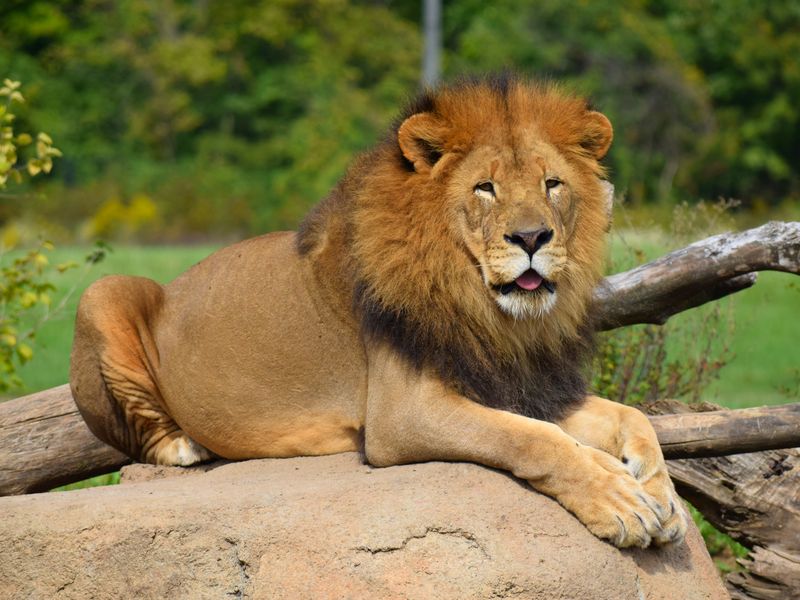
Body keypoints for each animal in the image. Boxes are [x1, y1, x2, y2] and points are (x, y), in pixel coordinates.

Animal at [70, 75, 686, 548]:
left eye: (552, 183)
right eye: (485, 188)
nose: (533, 237)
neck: (494, 316)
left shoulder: (525, 383)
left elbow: (635, 419)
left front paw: (663, 497)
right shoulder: (403, 414)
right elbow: (533, 439)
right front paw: (618, 499)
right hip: (102, 291)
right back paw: (186, 446)